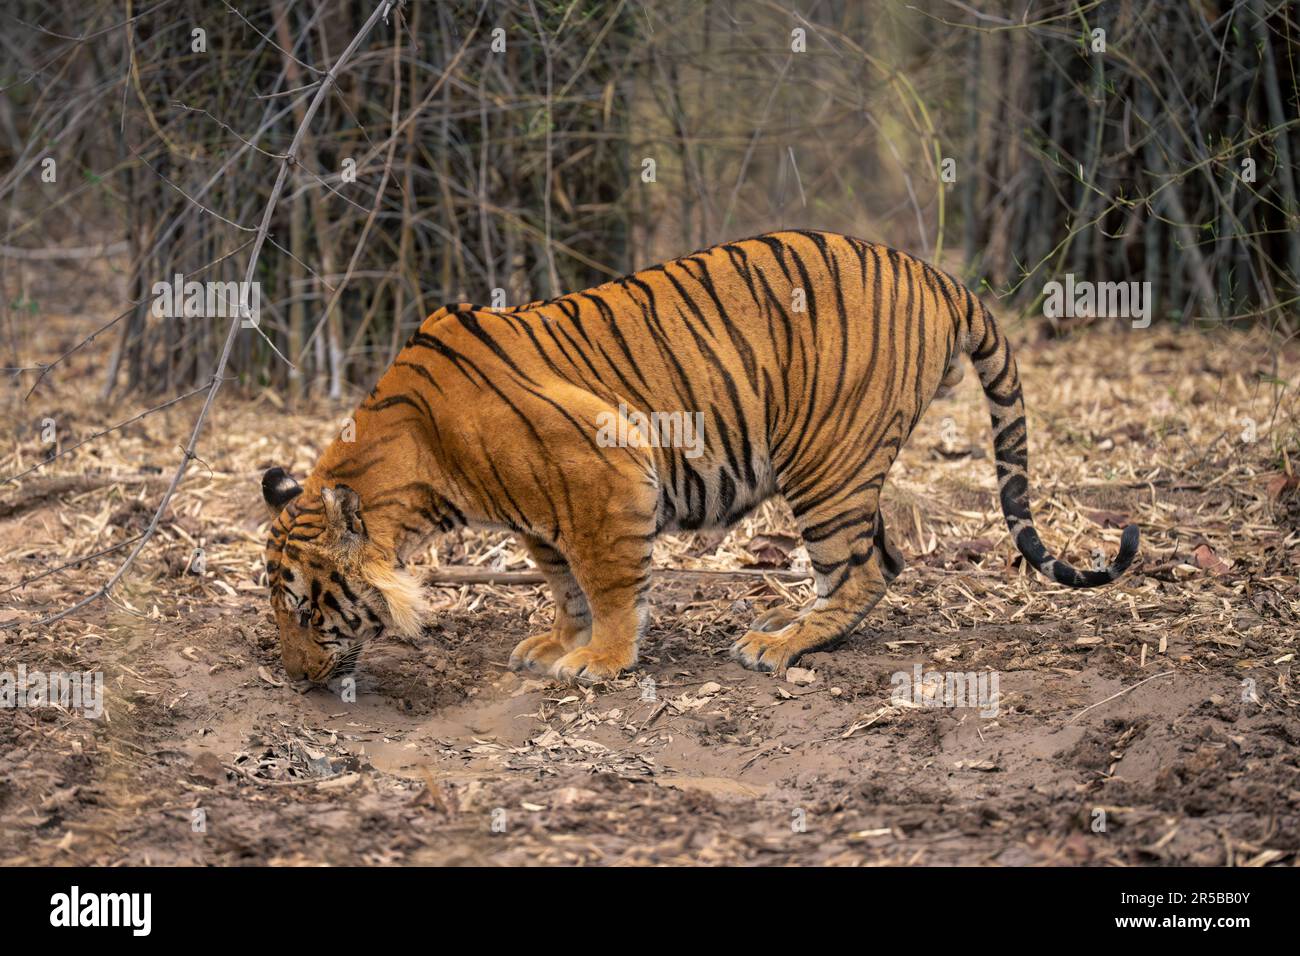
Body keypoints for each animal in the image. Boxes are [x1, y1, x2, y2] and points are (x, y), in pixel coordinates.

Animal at [261, 230, 1139, 685]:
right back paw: (792, 627)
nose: (299, 678)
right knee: (875, 558)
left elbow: (609, 582)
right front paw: (556, 643)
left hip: (825, 458)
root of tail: (935, 274)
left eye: (305, 609)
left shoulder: (604, 472)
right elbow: (563, 583)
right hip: (841, 466)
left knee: (867, 566)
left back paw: (780, 646)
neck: (417, 468)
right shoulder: (541, 516)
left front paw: (600, 661)